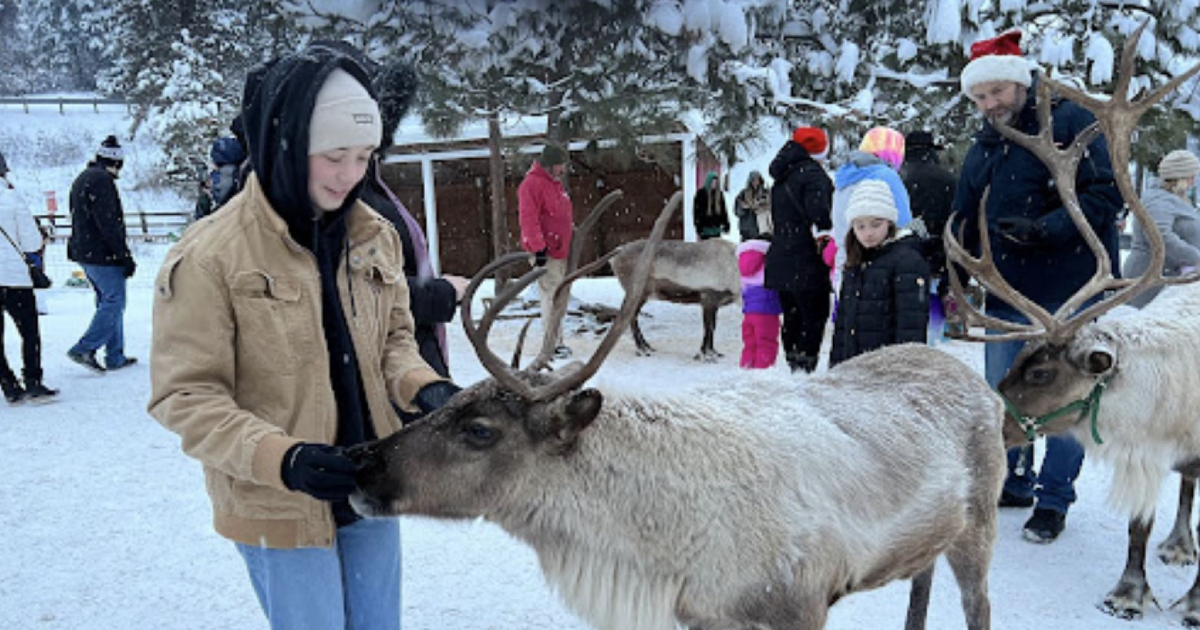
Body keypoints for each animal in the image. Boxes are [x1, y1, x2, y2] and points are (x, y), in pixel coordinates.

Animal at [349, 190, 1008, 630]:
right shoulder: (704, 617)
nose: (358, 462)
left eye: (480, 430)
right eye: (455, 399)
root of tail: (985, 389)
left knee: (978, 605)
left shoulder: (800, 606)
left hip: (978, 526)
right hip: (932, 537)